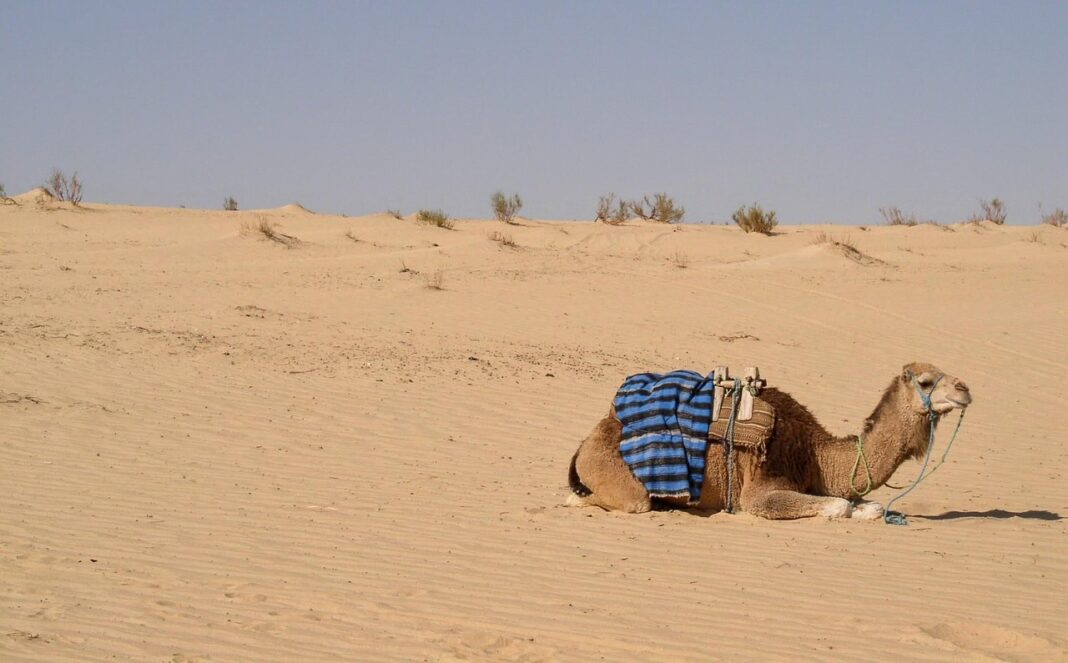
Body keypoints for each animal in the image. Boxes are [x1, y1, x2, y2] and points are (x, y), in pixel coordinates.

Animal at [567, 362, 971, 520]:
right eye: (925, 381)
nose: (965, 388)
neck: (816, 455)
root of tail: (586, 442)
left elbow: (866, 506)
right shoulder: (759, 491)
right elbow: (838, 505)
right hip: (614, 474)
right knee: (626, 501)